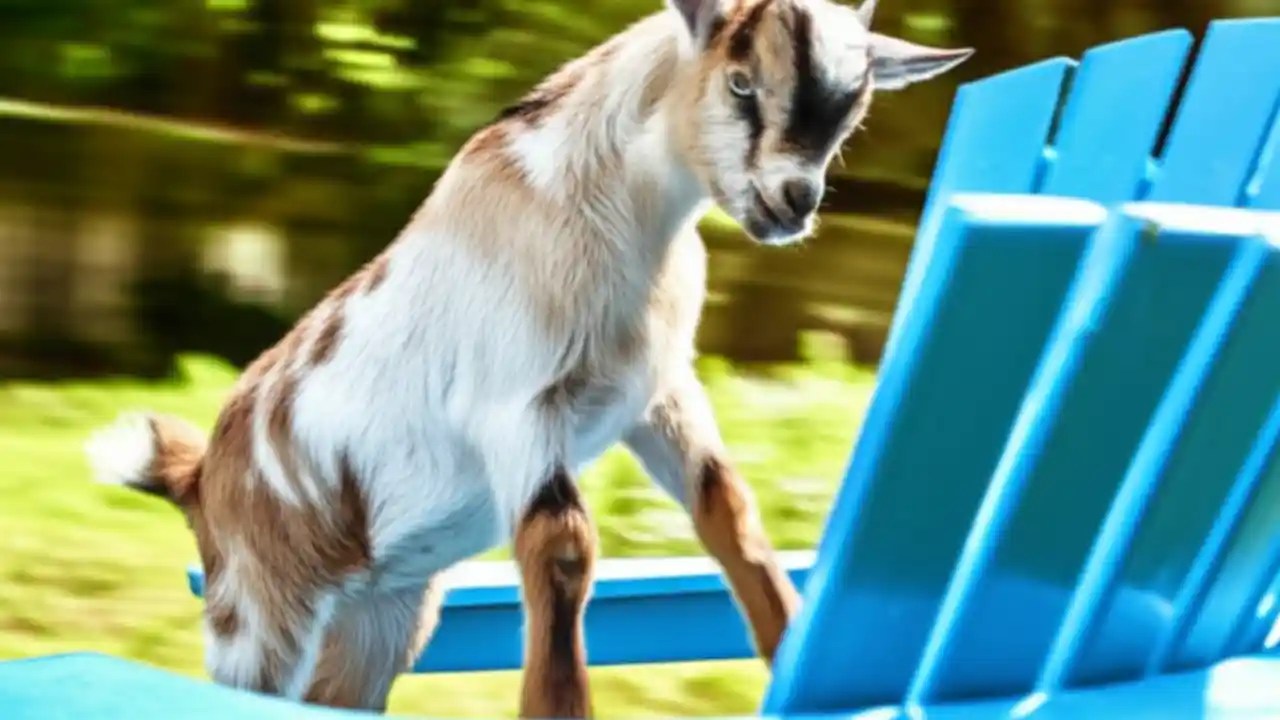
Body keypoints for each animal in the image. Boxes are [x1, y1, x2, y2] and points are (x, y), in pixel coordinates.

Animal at [84, 0, 971, 715]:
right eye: (742, 83)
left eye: (853, 108)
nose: (794, 201)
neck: (599, 209)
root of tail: (201, 477)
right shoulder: (518, 404)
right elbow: (564, 549)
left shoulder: (657, 394)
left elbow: (728, 504)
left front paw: (790, 646)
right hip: (262, 612)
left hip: (383, 614)